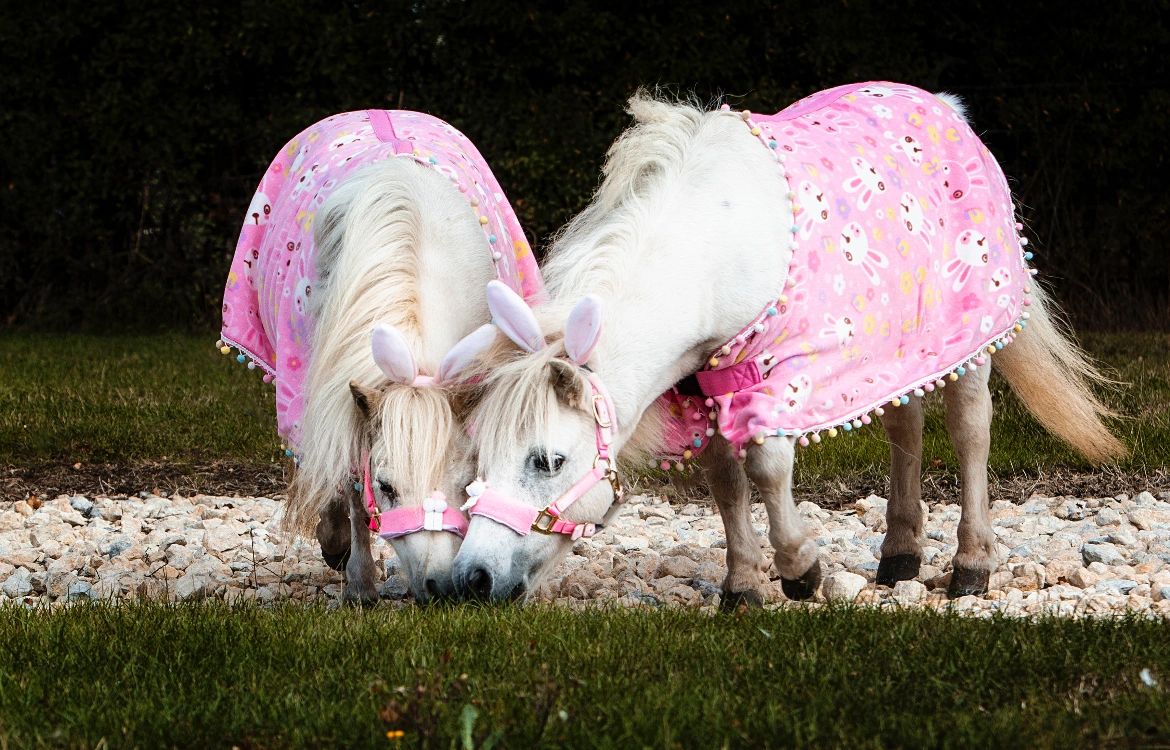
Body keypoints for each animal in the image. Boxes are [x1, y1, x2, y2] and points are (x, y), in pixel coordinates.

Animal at [449, 83, 1123, 604]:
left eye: (548, 461)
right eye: (478, 458)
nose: (472, 579)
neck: (706, 252)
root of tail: (945, 106)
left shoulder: (779, 374)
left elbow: (767, 466)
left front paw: (801, 569)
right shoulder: (701, 384)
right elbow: (726, 481)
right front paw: (742, 585)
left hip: (969, 344)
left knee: (971, 430)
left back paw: (970, 566)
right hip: (902, 354)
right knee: (905, 427)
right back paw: (899, 555)